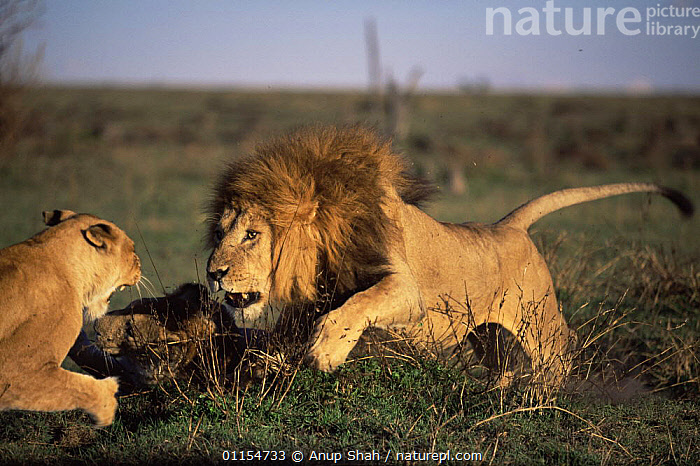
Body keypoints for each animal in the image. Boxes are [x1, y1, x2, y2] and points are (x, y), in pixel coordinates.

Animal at [205, 126, 694, 384]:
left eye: (252, 234)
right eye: (221, 232)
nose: (214, 273)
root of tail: (508, 225)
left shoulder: (406, 290)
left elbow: (356, 305)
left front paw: (325, 352)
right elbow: (296, 328)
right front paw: (272, 361)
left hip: (540, 323)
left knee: (559, 353)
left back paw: (541, 397)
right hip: (488, 333)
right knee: (503, 361)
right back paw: (499, 391)